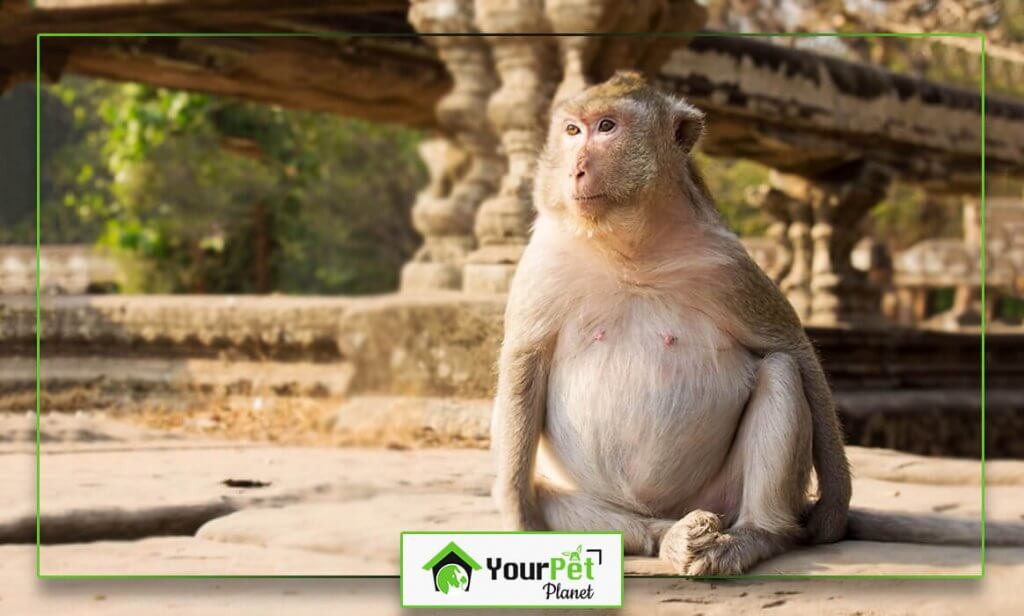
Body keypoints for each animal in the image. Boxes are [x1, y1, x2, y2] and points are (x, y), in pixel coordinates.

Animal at [490, 71, 1024, 576]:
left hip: (728, 492)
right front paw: (516, 519)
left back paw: (755, 536)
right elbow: (524, 361)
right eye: (571, 130)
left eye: (606, 127)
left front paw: (833, 509)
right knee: (548, 494)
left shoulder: (727, 264)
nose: (576, 168)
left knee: (781, 373)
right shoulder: (545, 264)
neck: (629, 249)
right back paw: (667, 537)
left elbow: (794, 348)